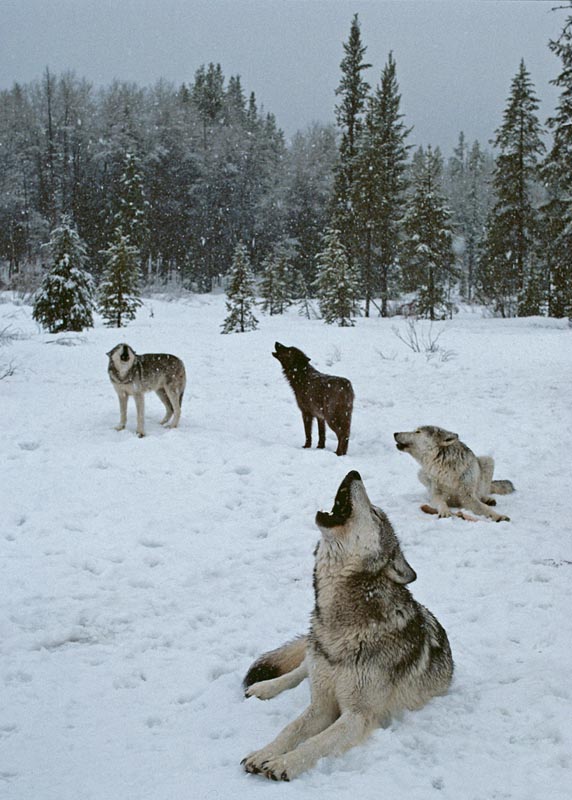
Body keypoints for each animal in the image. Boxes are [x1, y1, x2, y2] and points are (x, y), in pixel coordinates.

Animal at [241, 471, 453, 781]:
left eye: (376, 514)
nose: (354, 472)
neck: (340, 626)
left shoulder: (357, 716)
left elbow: (315, 743)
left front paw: (283, 764)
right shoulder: (321, 705)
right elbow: (290, 729)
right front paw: (262, 754)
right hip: (314, 659)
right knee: (300, 669)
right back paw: (264, 688)